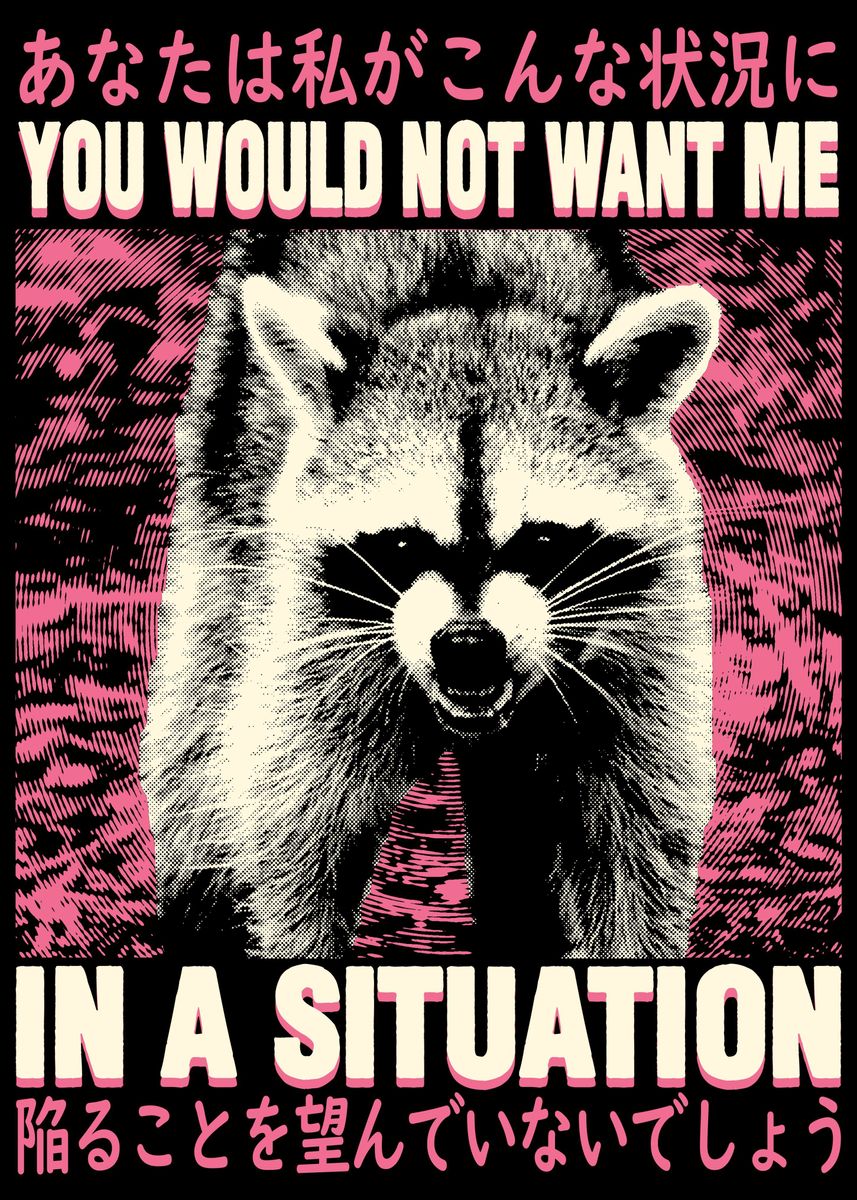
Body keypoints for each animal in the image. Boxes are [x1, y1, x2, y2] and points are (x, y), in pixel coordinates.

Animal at [139, 230, 720, 960]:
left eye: (539, 542)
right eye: (402, 546)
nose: (468, 645)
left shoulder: (637, 643)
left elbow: (631, 842)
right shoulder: (317, 639)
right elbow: (295, 835)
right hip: (223, 472)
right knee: (201, 703)